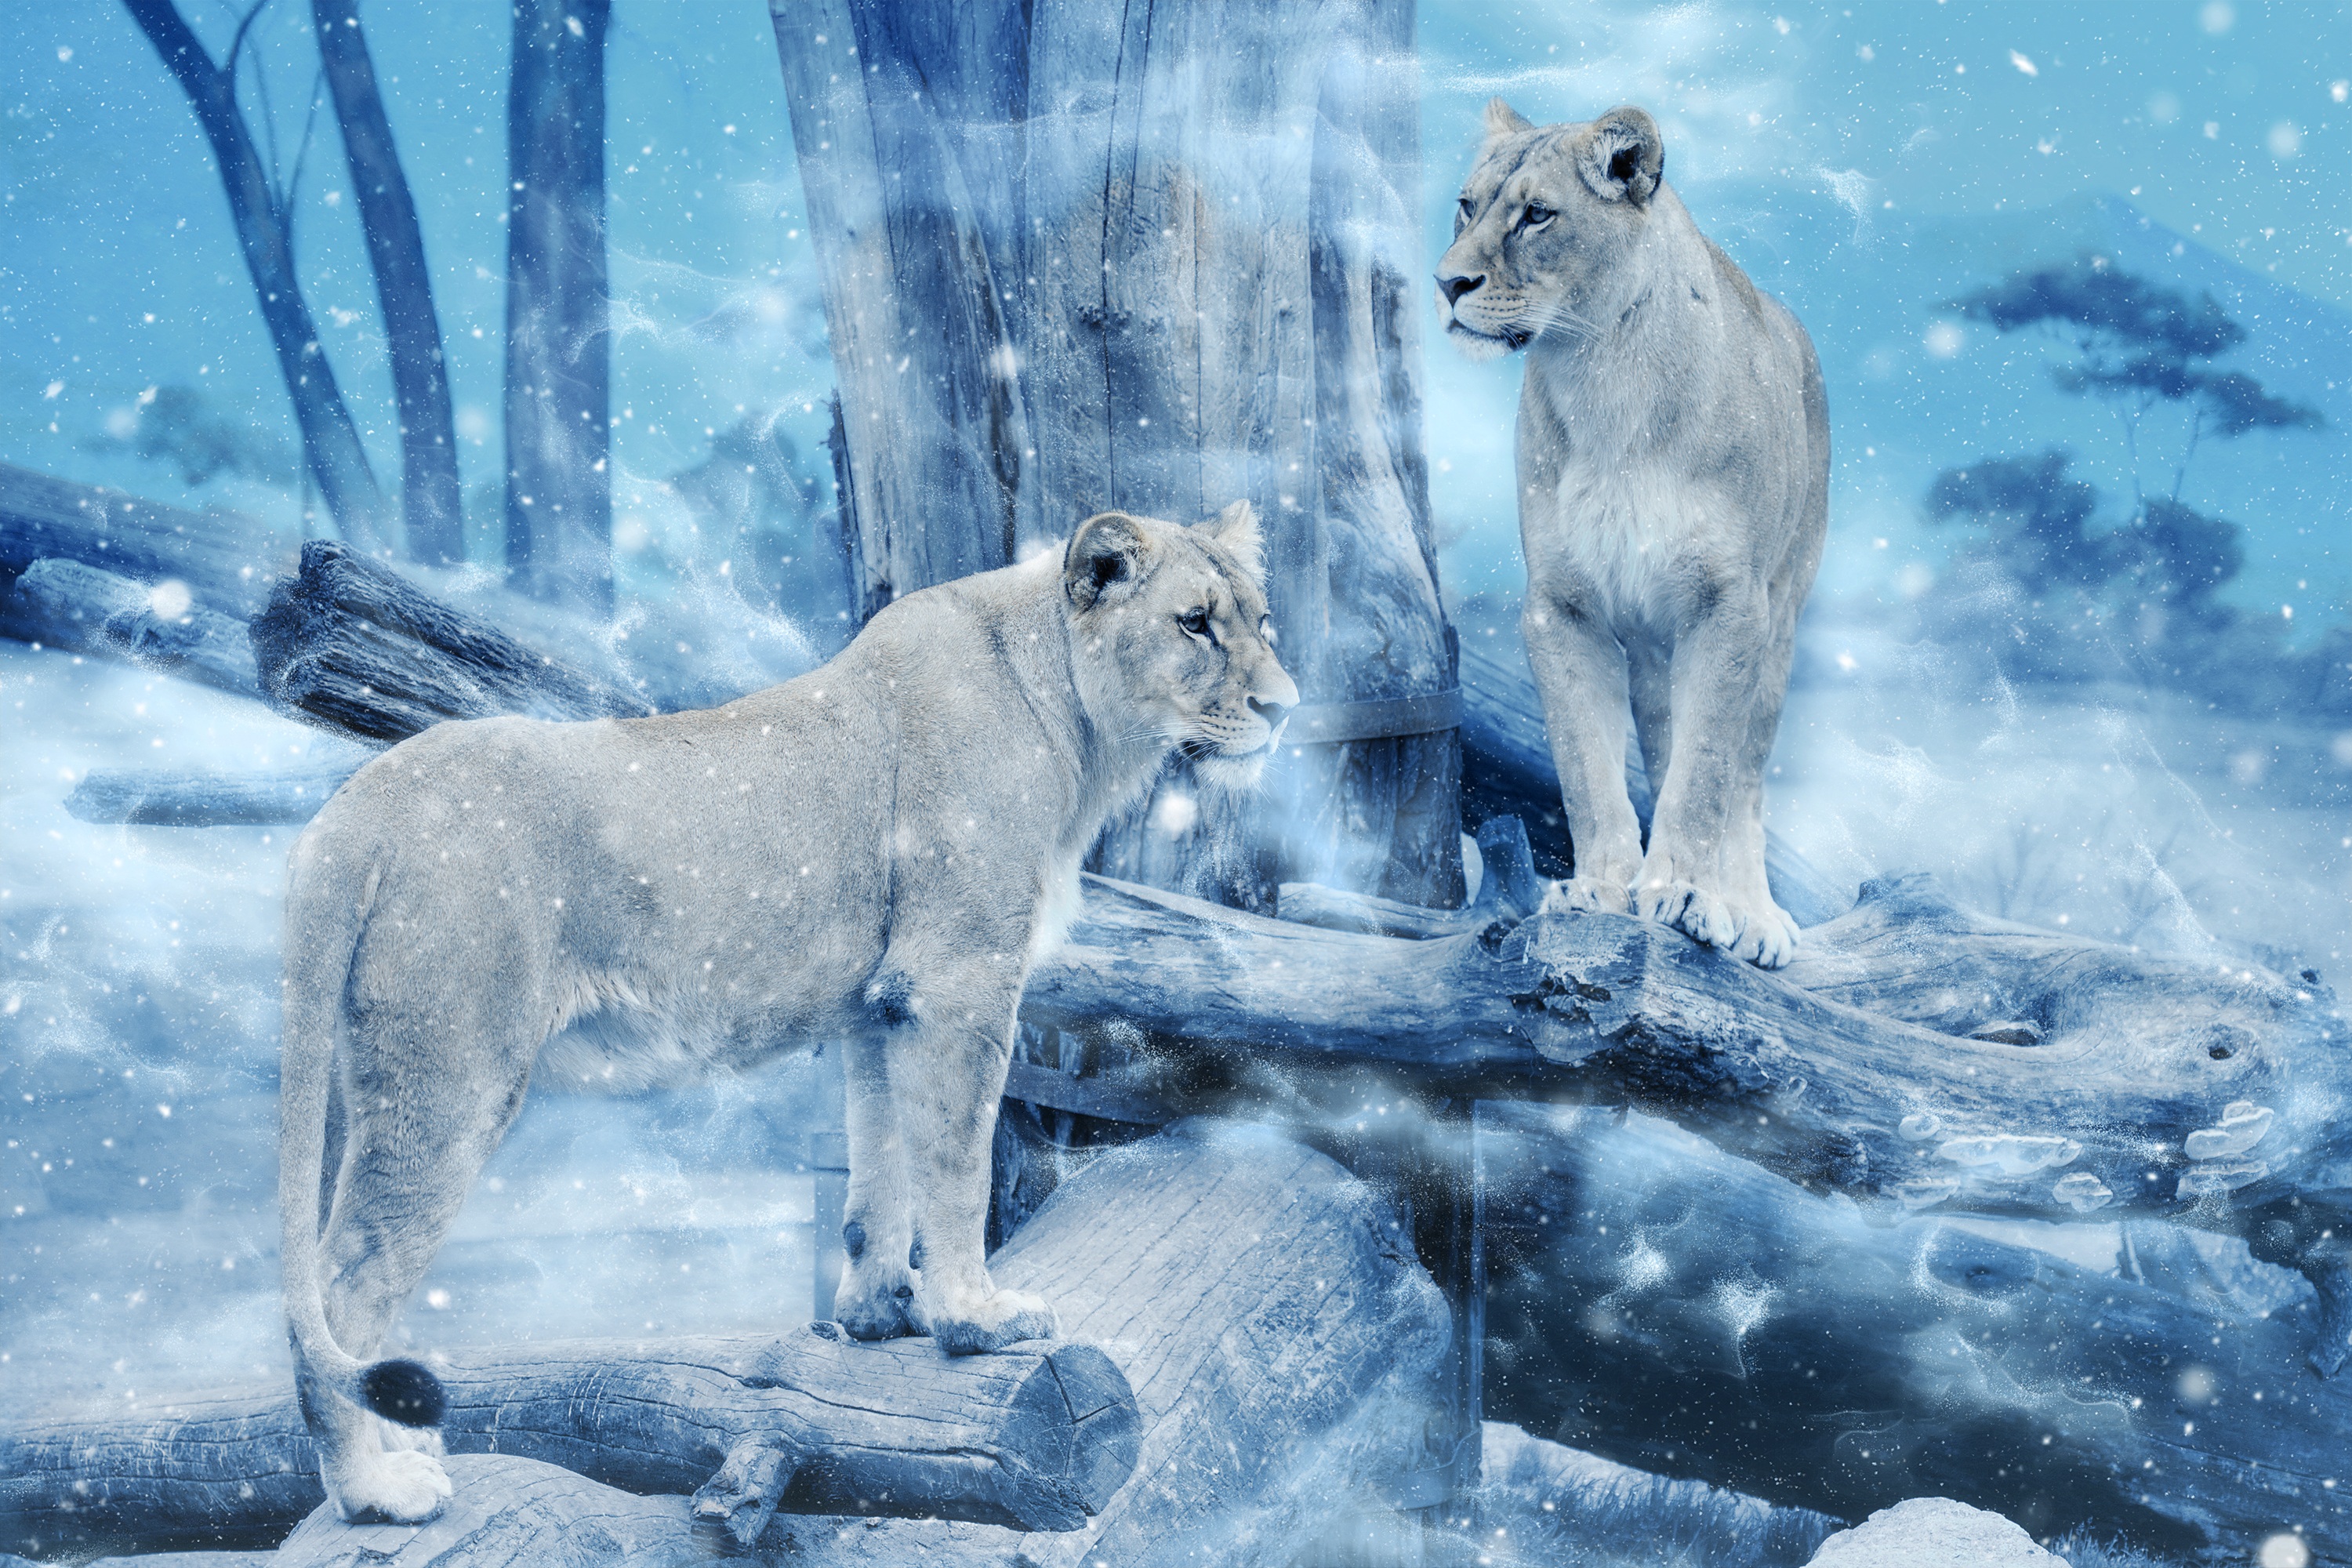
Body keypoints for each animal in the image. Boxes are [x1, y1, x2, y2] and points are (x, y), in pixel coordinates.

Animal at [274, 502, 1295, 1524]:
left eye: (1261, 621)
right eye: (1195, 623)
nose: (1284, 707)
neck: (1075, 723)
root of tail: (352, 808)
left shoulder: (885, 1004)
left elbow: (881, 1167)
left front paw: (883, 1313)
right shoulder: (959, 979)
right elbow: (955, 1165)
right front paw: (977, 1317)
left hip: (374, 1083)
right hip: (451, 1079)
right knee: (340, 1290)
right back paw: (378, 1490)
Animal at [1436, 100, 1829, 968]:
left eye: (1538, 215)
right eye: (1467, 206)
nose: (1448, 283)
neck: (1601, 374)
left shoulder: (1730, 606)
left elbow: (1708, 773)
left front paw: (1684, 894)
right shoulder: (1560, 607)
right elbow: (1586, 767)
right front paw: (1599, 889)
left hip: (1781, 618)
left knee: (1747, 778)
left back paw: (1753, 912)